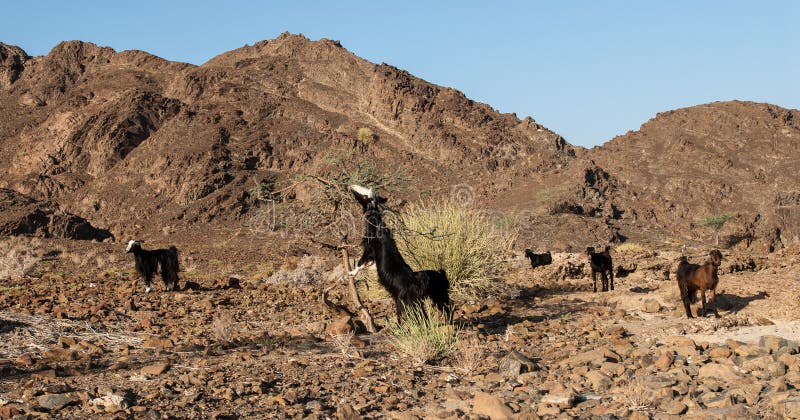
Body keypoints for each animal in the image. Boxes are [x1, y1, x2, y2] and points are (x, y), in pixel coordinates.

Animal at [348, 184, 451, 320]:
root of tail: (415, 282)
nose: (352, 186)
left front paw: (350, 273)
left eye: (365, 194)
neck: (376, 225)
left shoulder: (369, 249)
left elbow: (361, 262)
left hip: (405, 303)